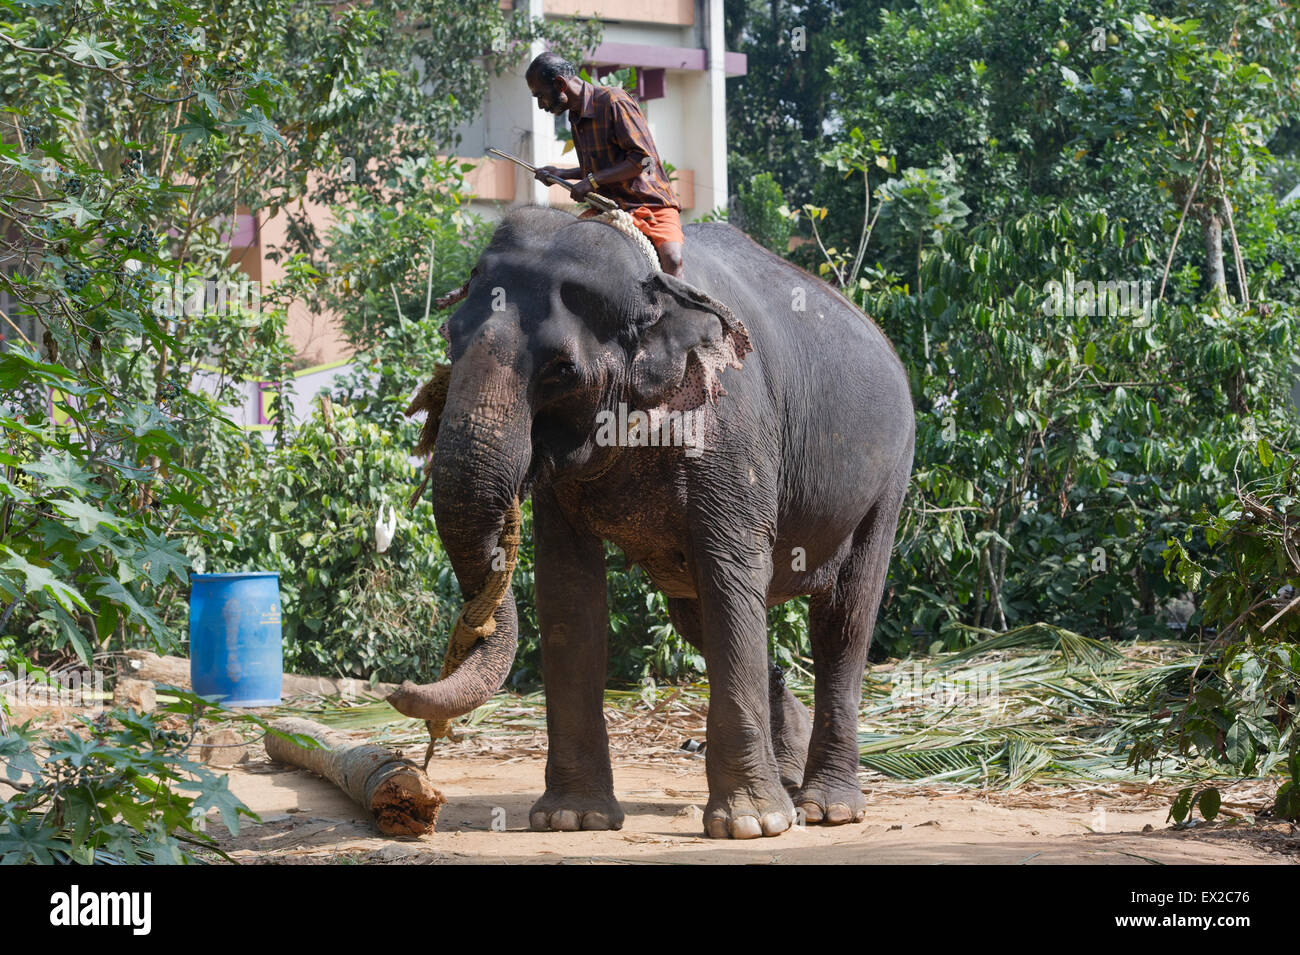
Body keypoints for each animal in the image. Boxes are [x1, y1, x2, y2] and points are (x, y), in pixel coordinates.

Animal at [388, 206, 915, 839]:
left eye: (562, 370)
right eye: (450, 338)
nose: (399, 690)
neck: (655, 287)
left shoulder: (730, 423)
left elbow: (730, 570)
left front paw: (751, 825)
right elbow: (568, 591)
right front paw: (573, 818)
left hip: (890, 476)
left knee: (843, 618)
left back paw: (824, 809)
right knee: (700, 618)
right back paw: (789, 785)